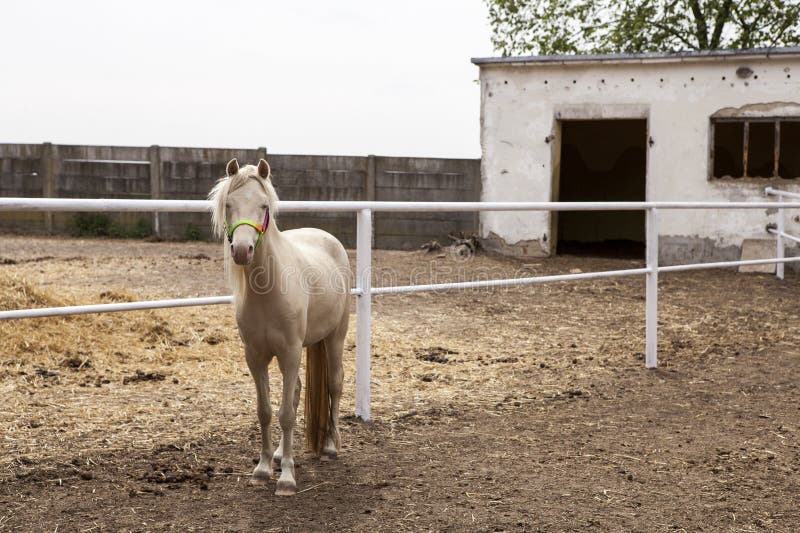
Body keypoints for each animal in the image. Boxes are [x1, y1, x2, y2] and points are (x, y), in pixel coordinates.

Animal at [209, 158, 350, 496]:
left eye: (263, 206)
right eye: (229, 204)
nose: (242, 250)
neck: (268, 291)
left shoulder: (289, 353)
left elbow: (285, 414)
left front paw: (286, 478)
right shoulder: (256, 357)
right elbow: (266, 411)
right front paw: (263, 468)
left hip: (335, 337)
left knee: (335, 384)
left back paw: (329, 447)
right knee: (297, 391)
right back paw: (278, 455)